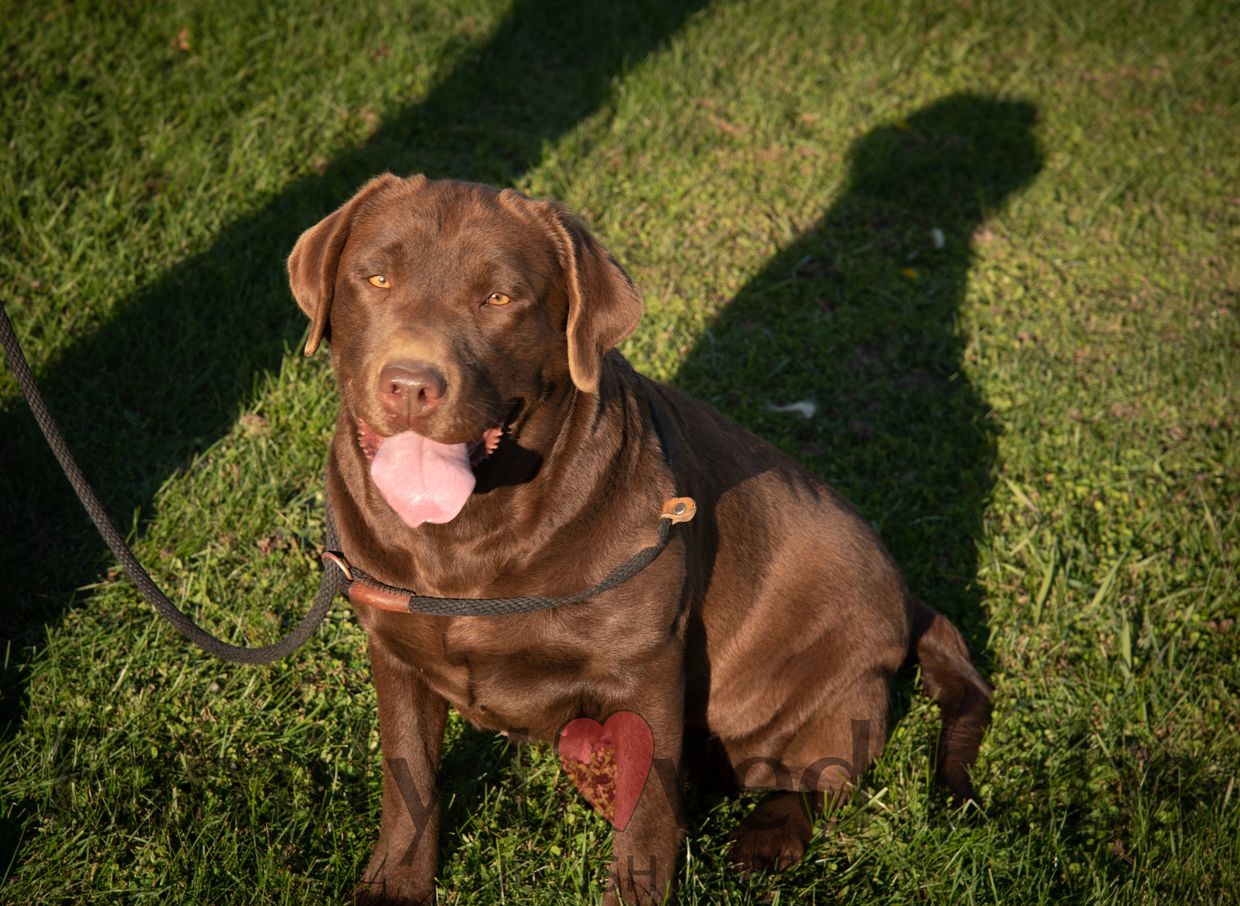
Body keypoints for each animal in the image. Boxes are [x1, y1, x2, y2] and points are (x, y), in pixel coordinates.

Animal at [287, 175, 987, 906]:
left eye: (498, 298)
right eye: (377, 277)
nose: (411, 385)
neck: (468, 543)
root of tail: (909, 594)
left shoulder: (646, 664)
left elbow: (647, 807)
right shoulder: (395, 652)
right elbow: (409, 776)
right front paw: (396, 883)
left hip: (843, 695)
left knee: (820, 778)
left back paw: (767, 836)